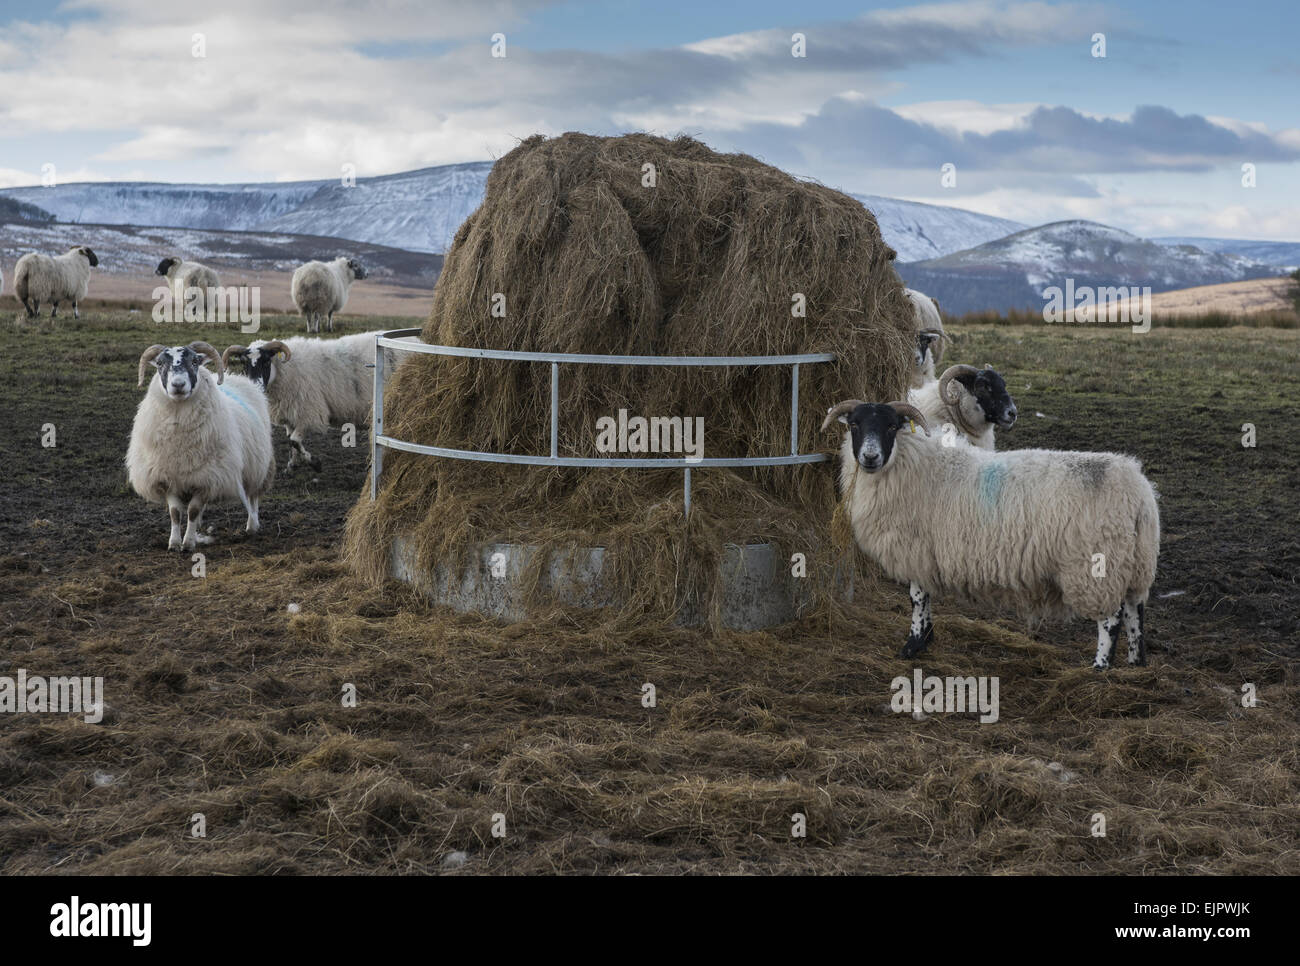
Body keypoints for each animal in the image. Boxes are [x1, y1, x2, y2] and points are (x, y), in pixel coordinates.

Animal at [126, 341, 275, 551]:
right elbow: (175, 513)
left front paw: (188, 544)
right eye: (160, 363)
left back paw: (252, 525)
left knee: (252, 497)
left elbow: (193, 511)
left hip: (255, 467)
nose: (178, 384)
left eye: (195, 361)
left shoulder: (208, 478)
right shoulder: (169, 477)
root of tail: (237, 379)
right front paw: (174, 543)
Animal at [222, 331, 384, 472]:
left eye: (267, 361)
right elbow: (290, 441)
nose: (256, 386)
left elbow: (294, 441)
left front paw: (315, 464)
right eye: (244, 363)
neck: (286, 370)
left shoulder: (309, 415)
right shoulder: (290, 414)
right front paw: (291, 466)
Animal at [822, 399, 1160, 669]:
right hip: (1135, 562)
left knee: (1111, 618)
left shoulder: (916, 548)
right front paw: (926, 639)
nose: (870, 457)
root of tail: (1138, 491)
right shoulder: (926, 552)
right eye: (855, 424)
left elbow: (917, 598)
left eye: (892, 426)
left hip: (1098, 565)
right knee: (1135, 610)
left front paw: (913, 645)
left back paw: (1100, 667)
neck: (911, 463)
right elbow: (925, 598)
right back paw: (1136, 663)